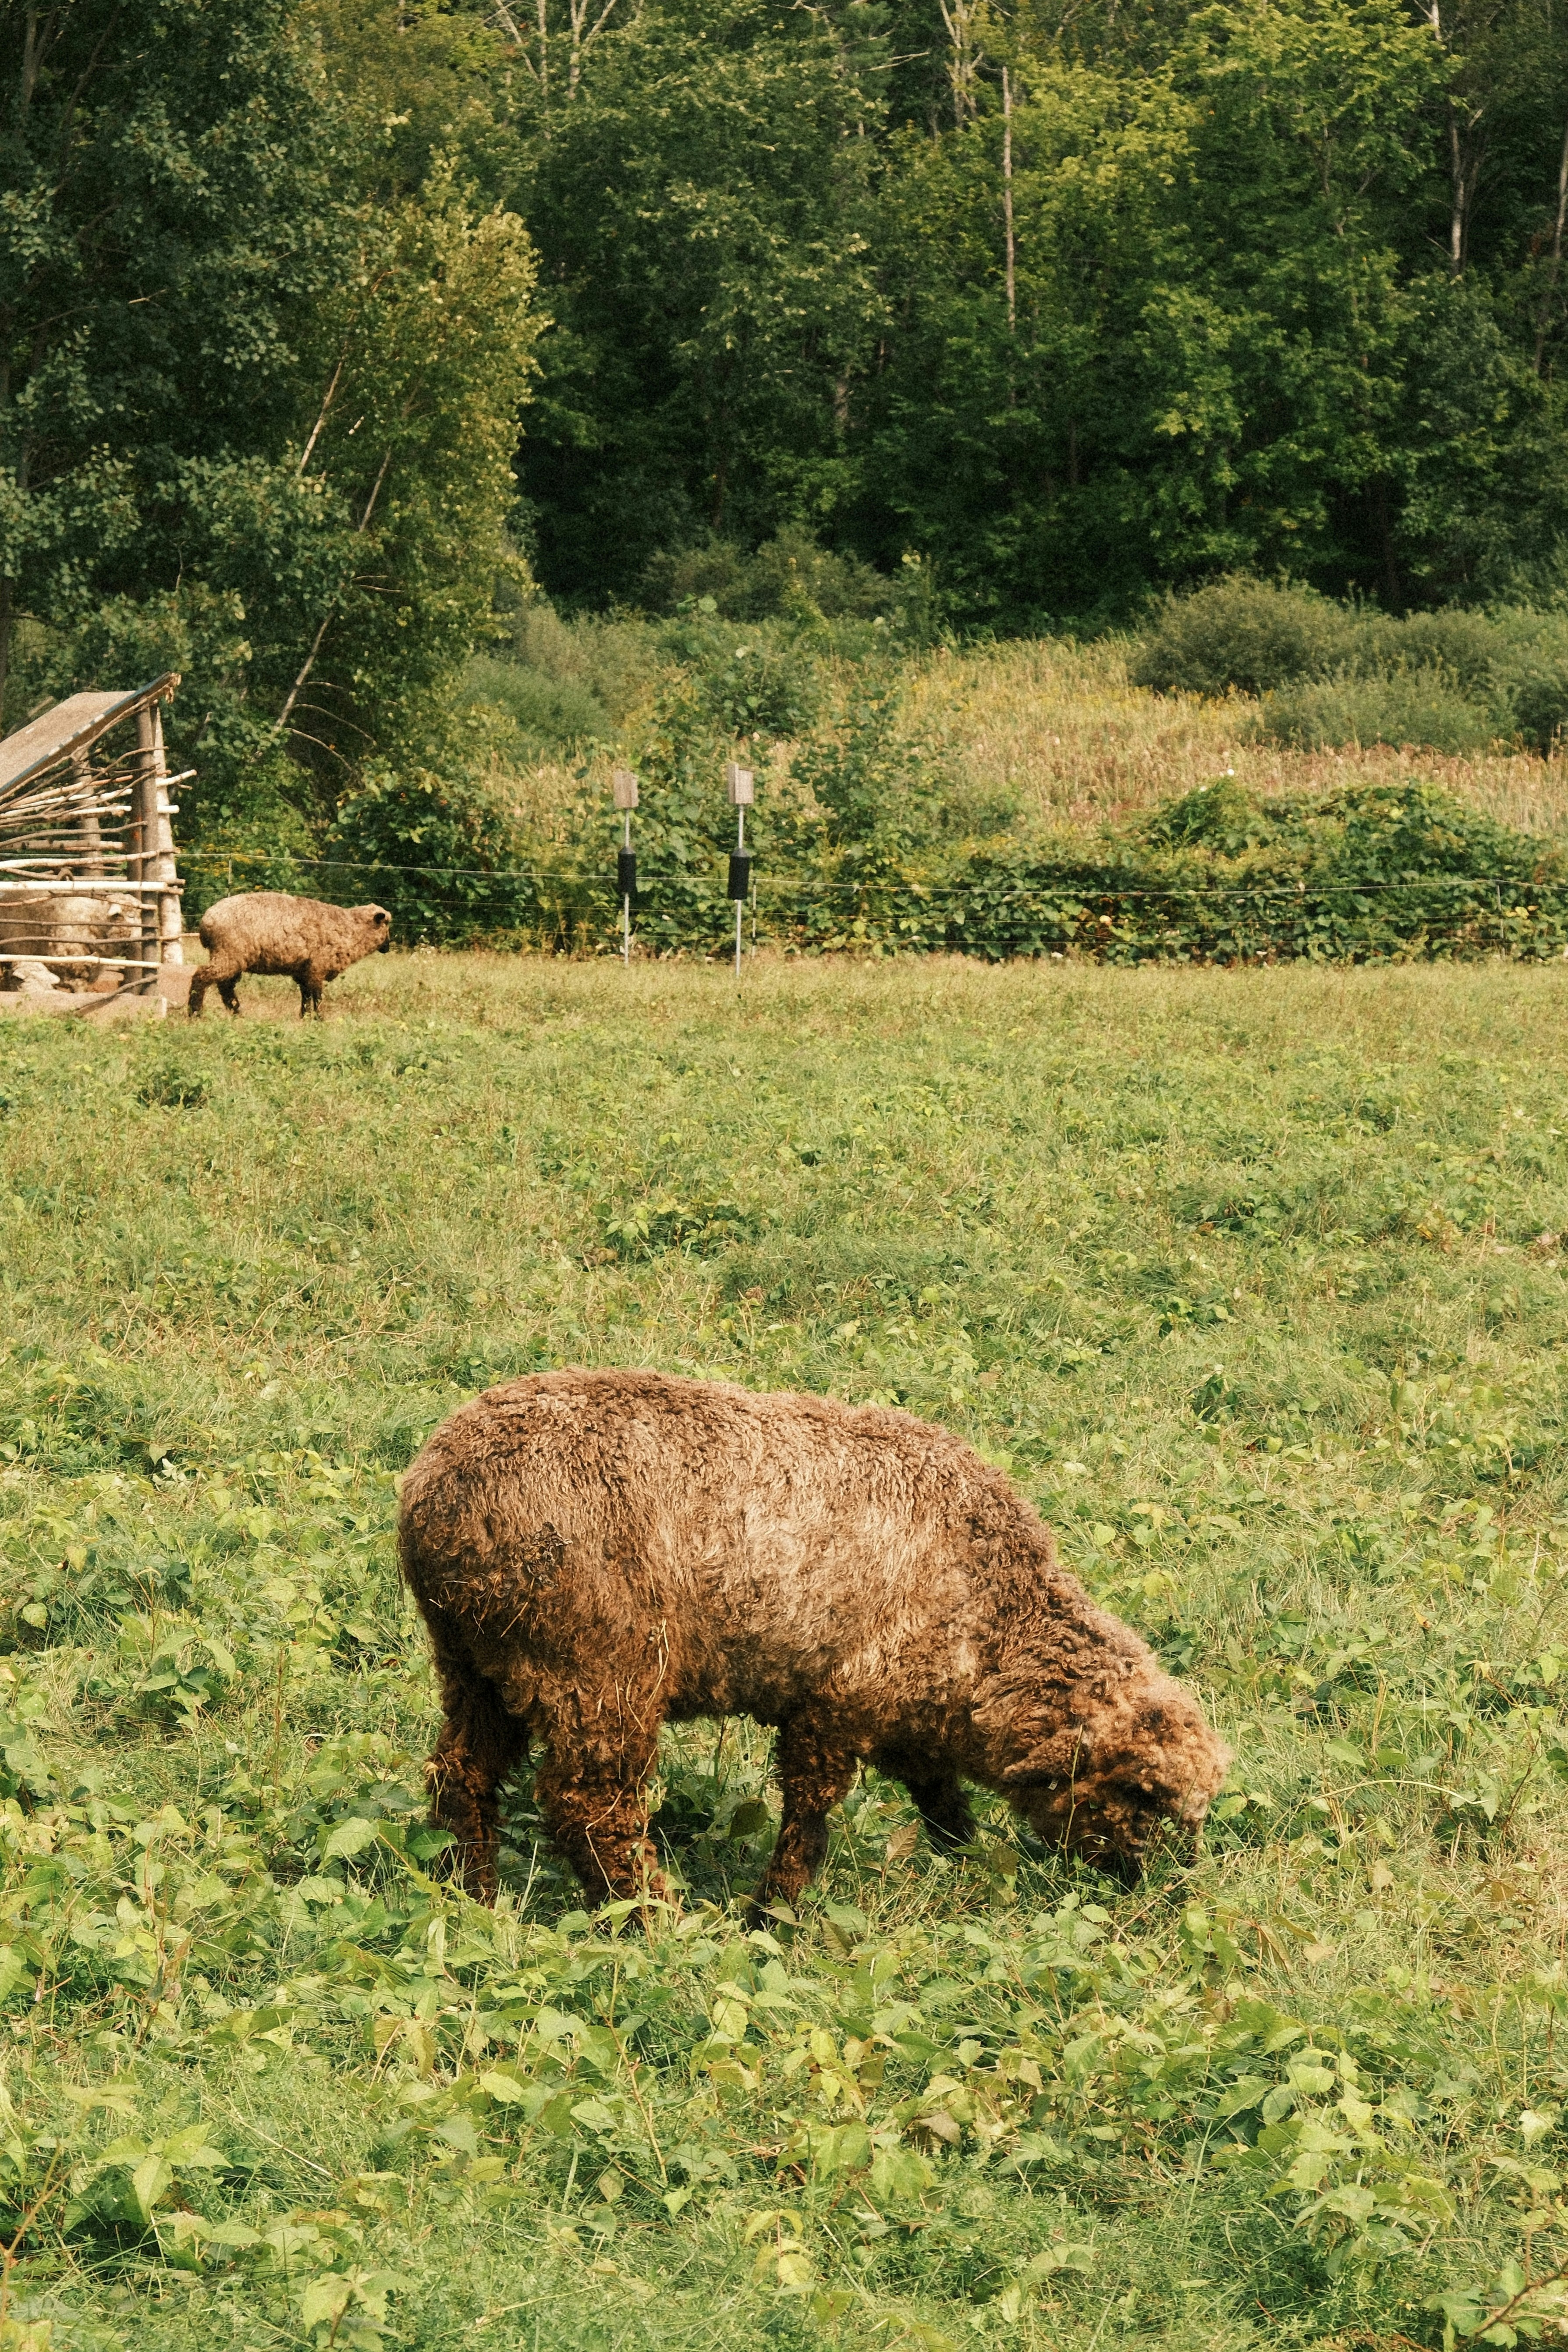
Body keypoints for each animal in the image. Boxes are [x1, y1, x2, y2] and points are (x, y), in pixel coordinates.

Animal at [187, 891, 391, 1019]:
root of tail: (206, 921)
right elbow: (317, 996)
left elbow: (306, 995)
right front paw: (319, 1018)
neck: (351, 929)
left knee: (226, 987)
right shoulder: (318, 967)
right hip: (229, 954)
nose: (388, 948)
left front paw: (304, 1017)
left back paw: (237, 1012)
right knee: (202, 977)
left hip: (231, 957)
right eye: (387, 923)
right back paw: (196, 1013)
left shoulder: (304, 971)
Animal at [397, 1368, 1230, 1910]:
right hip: (597, 1666)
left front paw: (968, 1859)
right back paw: (652, 1920)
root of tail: (433, 1496)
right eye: (1140, 1794)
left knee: (461, 1774)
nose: (1143, 1889)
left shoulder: (908, 1709)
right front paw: (773, 1911)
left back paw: (475, 1896)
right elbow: (810, 1815)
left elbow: (938, 1796)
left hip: (476, 1661)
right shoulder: (837, 1702)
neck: (991, 1622)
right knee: (590, 1808)